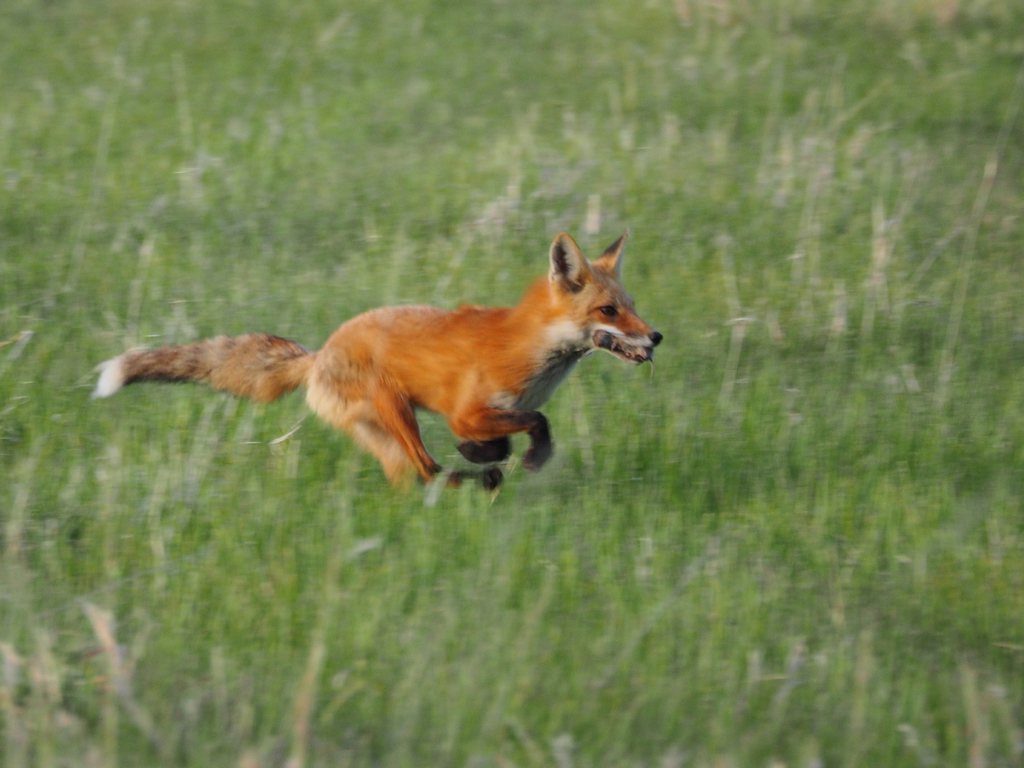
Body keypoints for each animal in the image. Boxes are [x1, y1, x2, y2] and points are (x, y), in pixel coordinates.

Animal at [93, 231, 662, 490]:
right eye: (608, 311)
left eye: (632, 305)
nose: (656, 336)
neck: (529, 351)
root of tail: (318, 354)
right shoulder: (467, 411)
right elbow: (536, 421)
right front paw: (526, 458)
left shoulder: (488, 413)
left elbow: (519, 427)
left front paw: (492, 454)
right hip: (398, 411)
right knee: (429, 469)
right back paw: (475, 480)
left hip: (385, 434)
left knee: (417, 476)